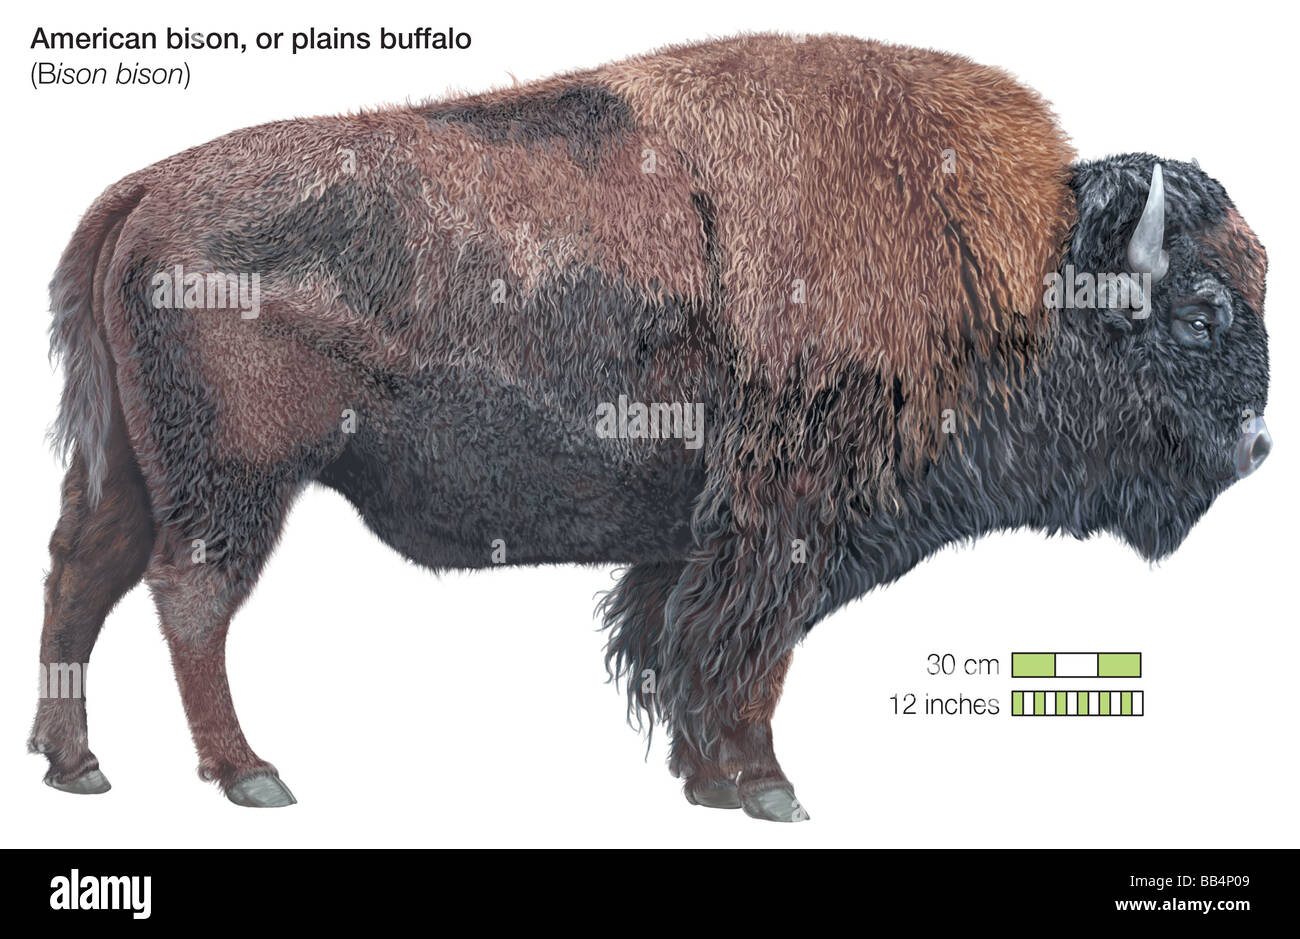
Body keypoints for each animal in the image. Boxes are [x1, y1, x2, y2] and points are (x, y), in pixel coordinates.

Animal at [31, 34, 1270, 820]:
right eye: (1202, 314)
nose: (1259, 443)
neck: (1005, 268)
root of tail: (142, 190)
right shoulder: (783, 526)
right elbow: (744, 654)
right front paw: (767, 789)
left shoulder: (692, 541)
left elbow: (676, 643)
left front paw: (705, 782)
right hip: (237, 478)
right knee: (187, 597)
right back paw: (250, 775)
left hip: (127, 466)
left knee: (82, 576)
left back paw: (74, 767)